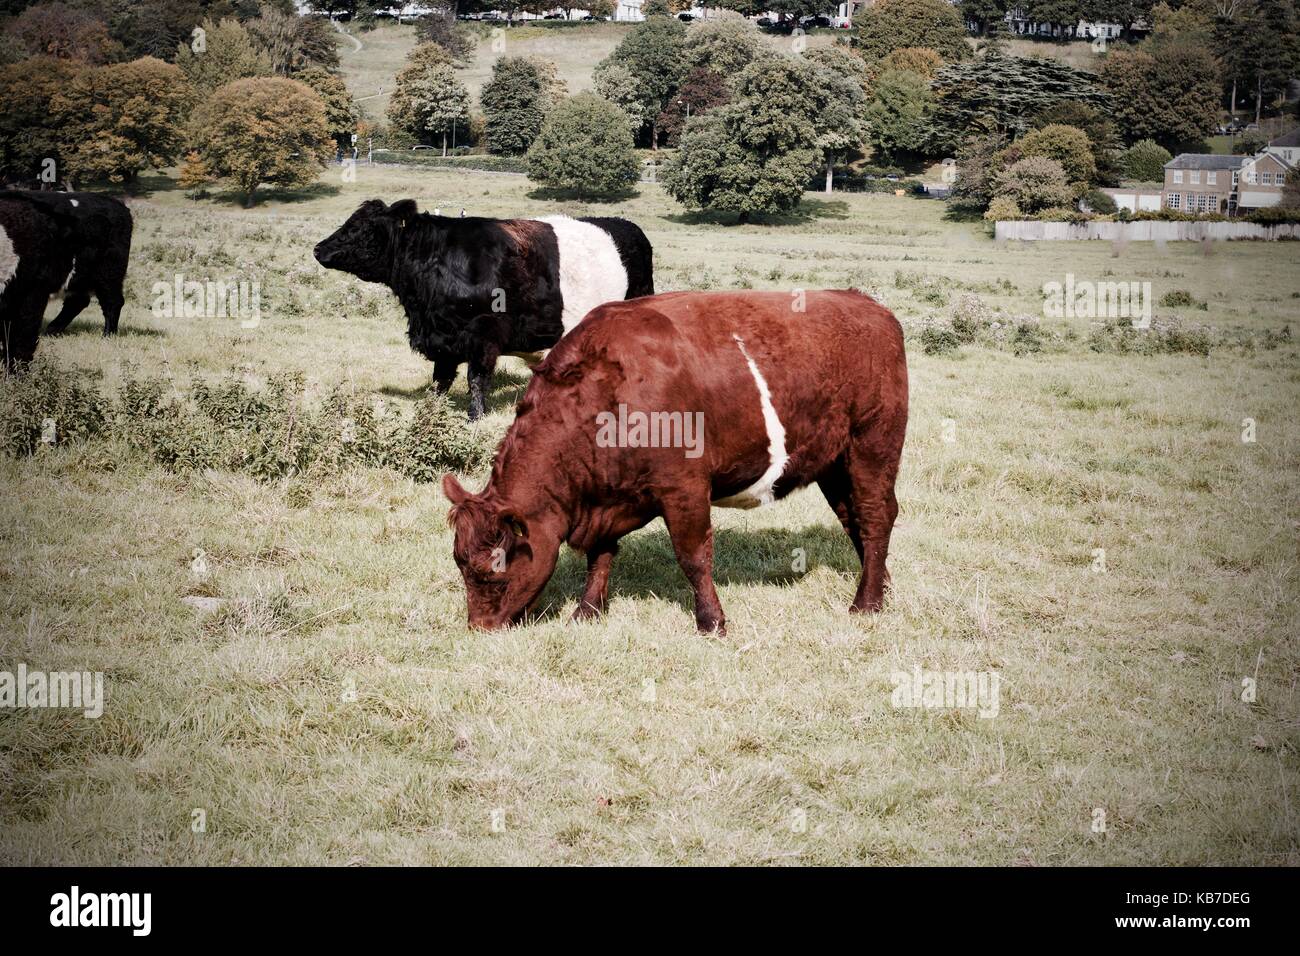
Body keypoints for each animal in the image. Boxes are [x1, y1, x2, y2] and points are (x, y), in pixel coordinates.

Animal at [0, 190, 133, 336]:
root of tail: (118, 204)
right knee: (77, 301)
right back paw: (51, 330)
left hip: (108, 271)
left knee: (112, 301)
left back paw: (107, 334)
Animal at [312, 199, 655, 419]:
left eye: (364, 230)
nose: (318, 249)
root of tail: (627, 226)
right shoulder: (444, 339)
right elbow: (440, 380)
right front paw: (430, 410)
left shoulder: (483, 335)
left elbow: (476, 379)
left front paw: (475, 416)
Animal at [442, 289, 909, 635]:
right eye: (459, 562)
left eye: (494, 566)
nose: (479, 627)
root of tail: (870, 306)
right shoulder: (605, 497)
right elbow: (600, 555)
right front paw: (587, 612)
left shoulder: (684, 488)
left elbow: (693, 556)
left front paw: (712, 622)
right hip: (834, 464)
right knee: (854, 520)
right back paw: (882, 583)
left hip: (873, 446)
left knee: (876, 515)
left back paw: (866, 603)